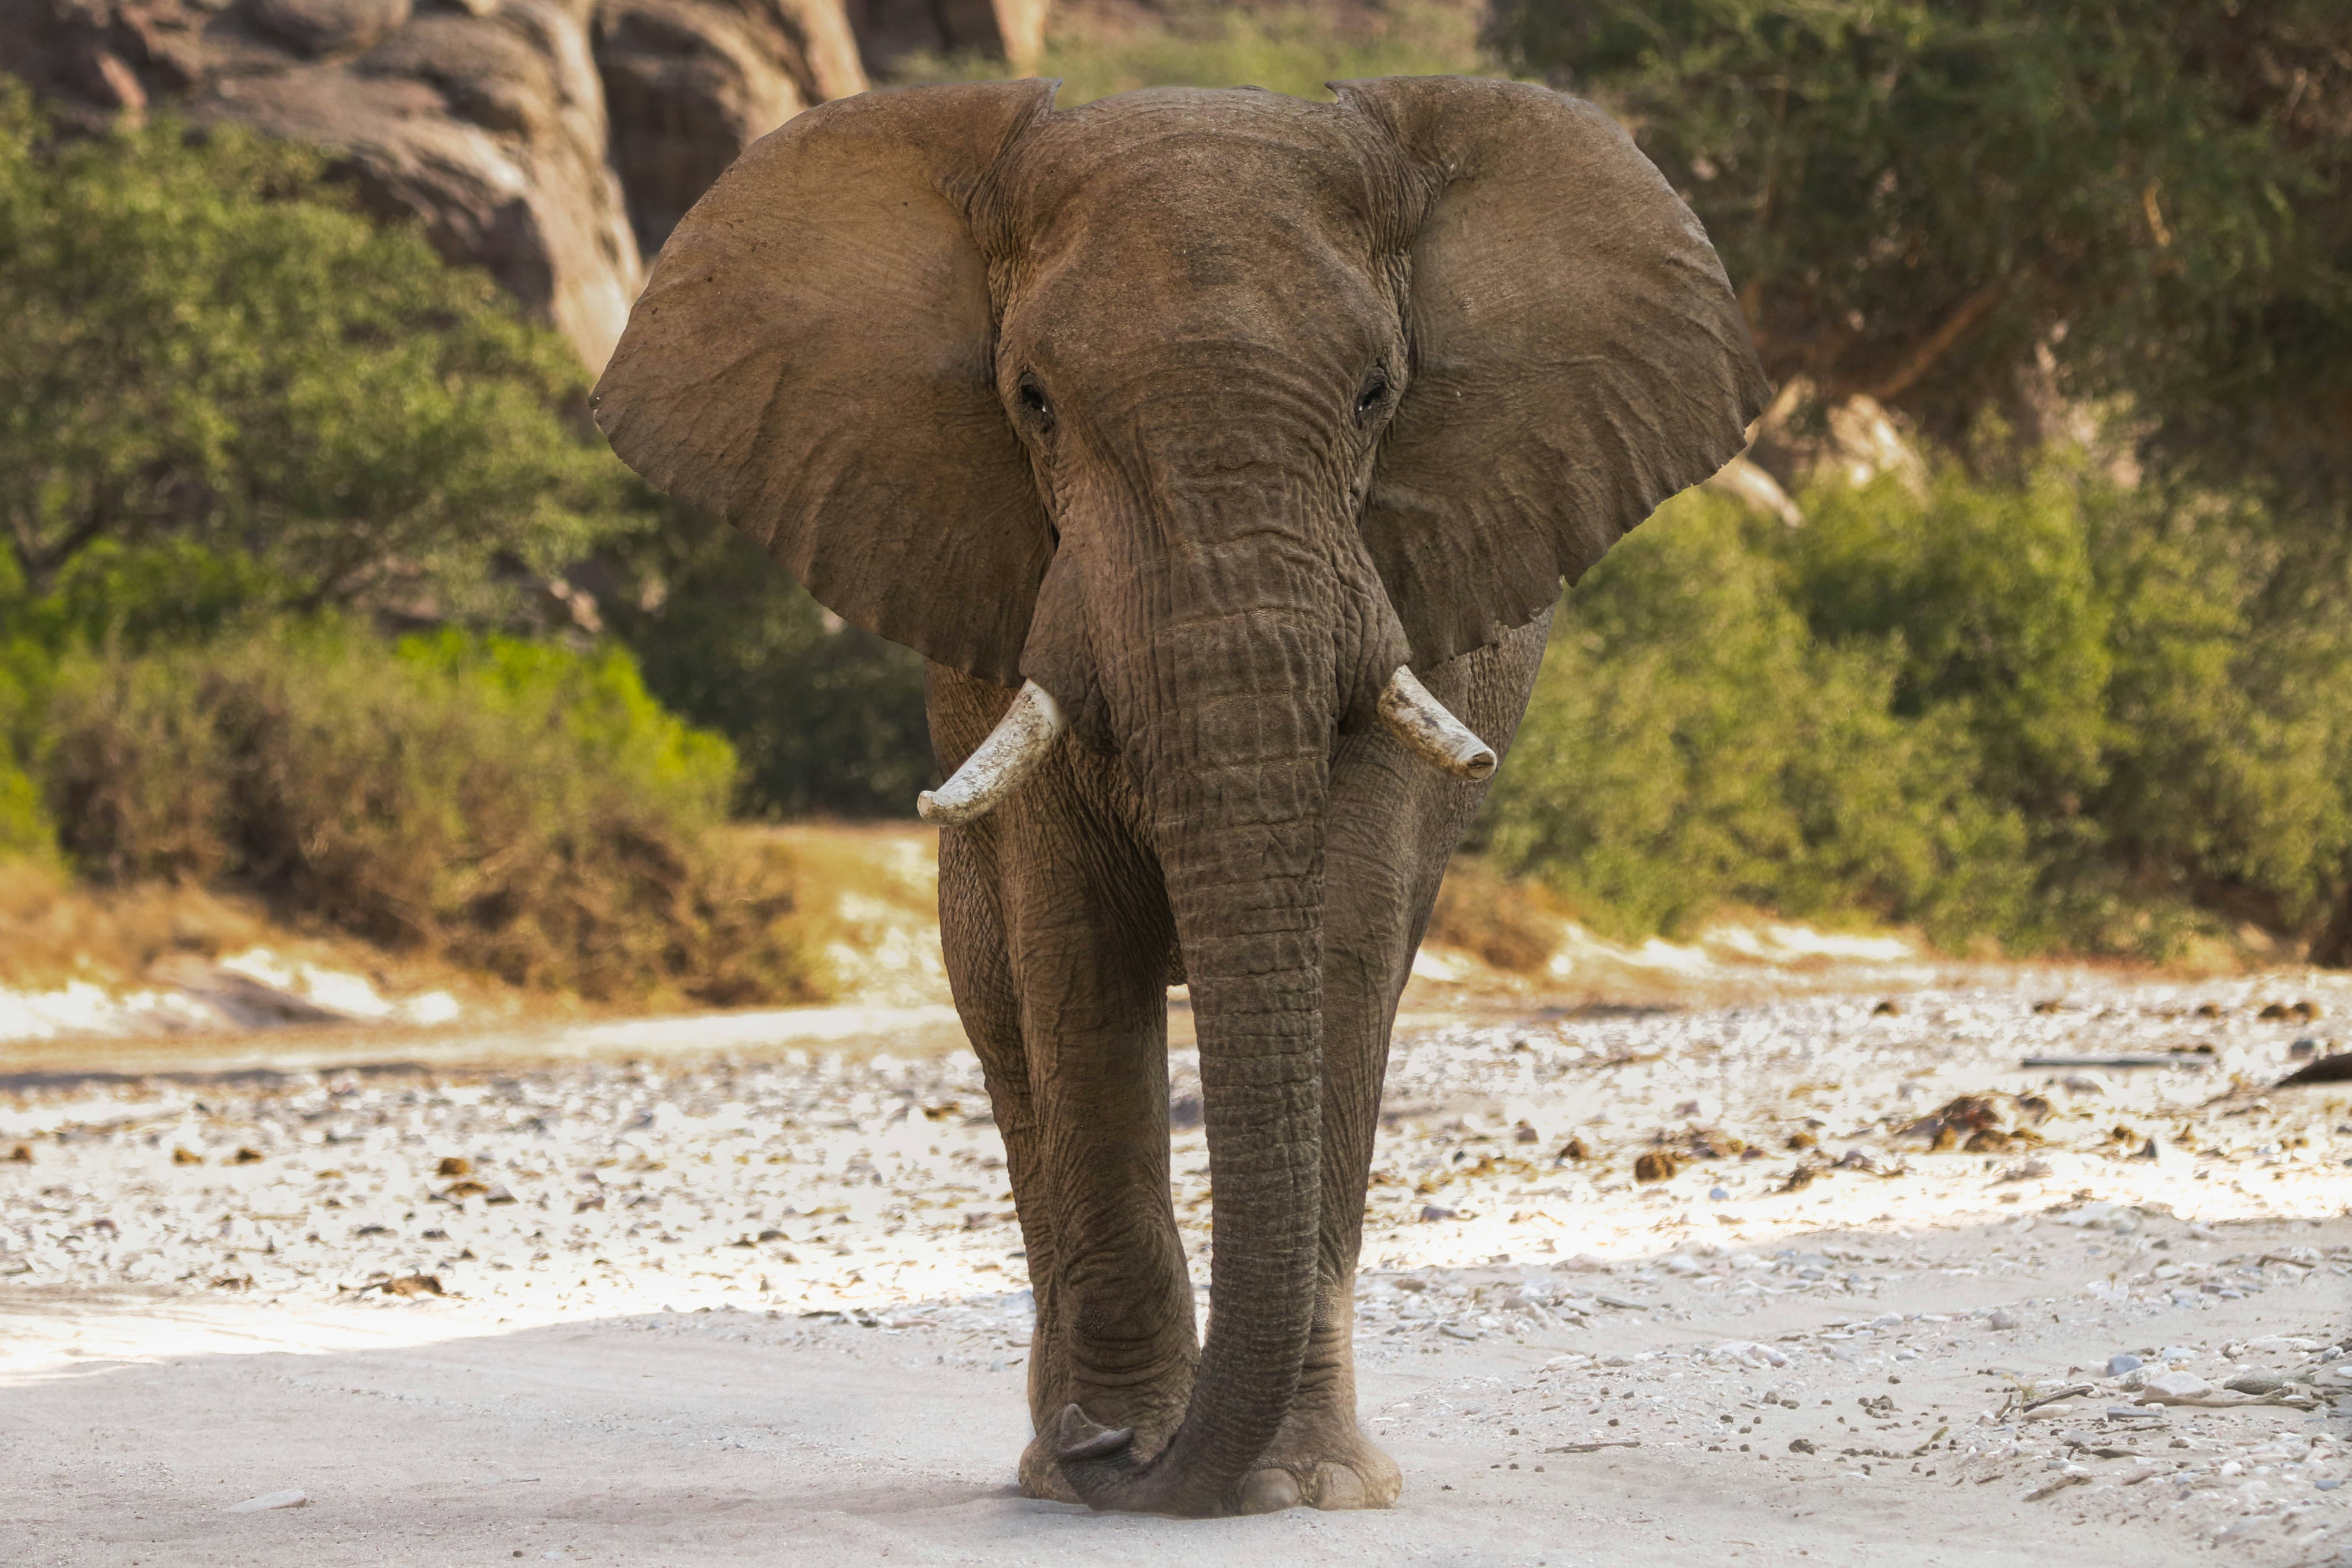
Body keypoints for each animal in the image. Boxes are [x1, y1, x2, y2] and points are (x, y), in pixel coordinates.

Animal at [590, 75, 1767, 1517]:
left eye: (1377, 393)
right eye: (1032, 401)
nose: (1119, 1457)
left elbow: (1339, 938)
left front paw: (1300, 1486)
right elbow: (1073, 950)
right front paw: (1119, 1450)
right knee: (998, 990)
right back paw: (1050, 1459)